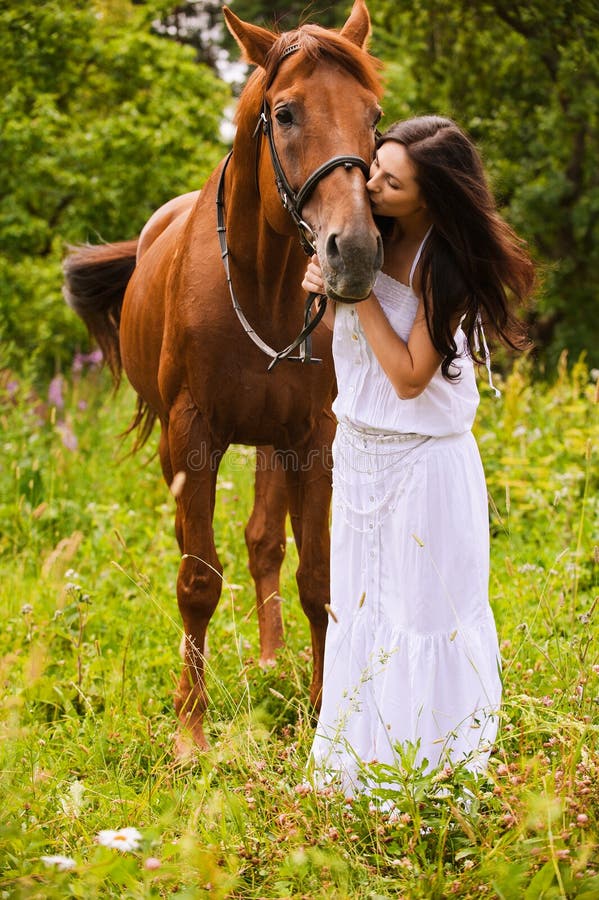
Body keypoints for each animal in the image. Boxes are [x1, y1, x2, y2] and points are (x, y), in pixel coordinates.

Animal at [63, 0, 383, 756]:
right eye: (286, 112)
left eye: (374, 116)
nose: (354, 252)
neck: (262, 285)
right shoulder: (193, 436)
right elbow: (197, 581)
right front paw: (190, 732)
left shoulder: (312, 440)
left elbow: (315, 575)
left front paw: (320, 714)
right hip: (176, 445)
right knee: (201, 550)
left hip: (272, 440)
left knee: (264, 540)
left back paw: (271, 657)